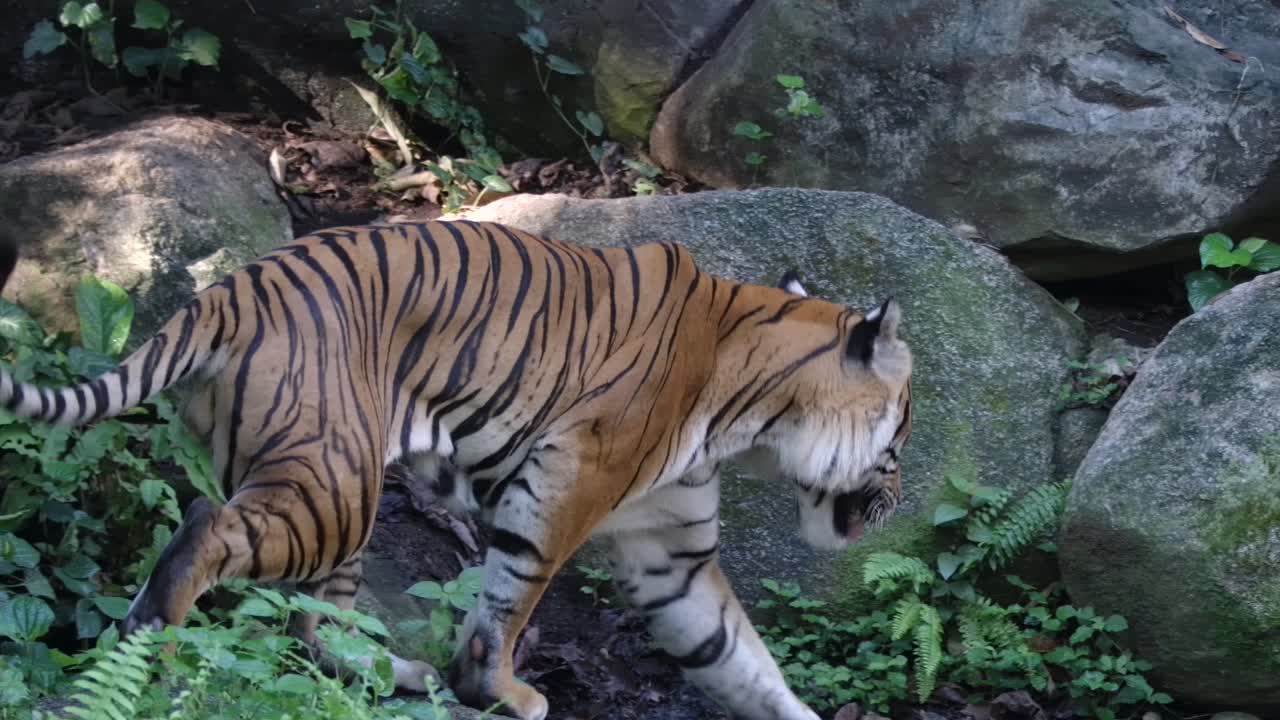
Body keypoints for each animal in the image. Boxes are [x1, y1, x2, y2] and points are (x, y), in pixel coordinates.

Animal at [0, 219, 913, 720]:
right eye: (904, 432)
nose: (898, 504)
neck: (751, 410)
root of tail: (231, 288)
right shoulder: (567, 484)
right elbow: (512, 599)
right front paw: (500, 690)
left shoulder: (673, 552)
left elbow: (741, 660)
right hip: (334, 487)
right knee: (206, 529)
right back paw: (148, 654)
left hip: (342, 498)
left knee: (314, 626)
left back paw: (391, 672)